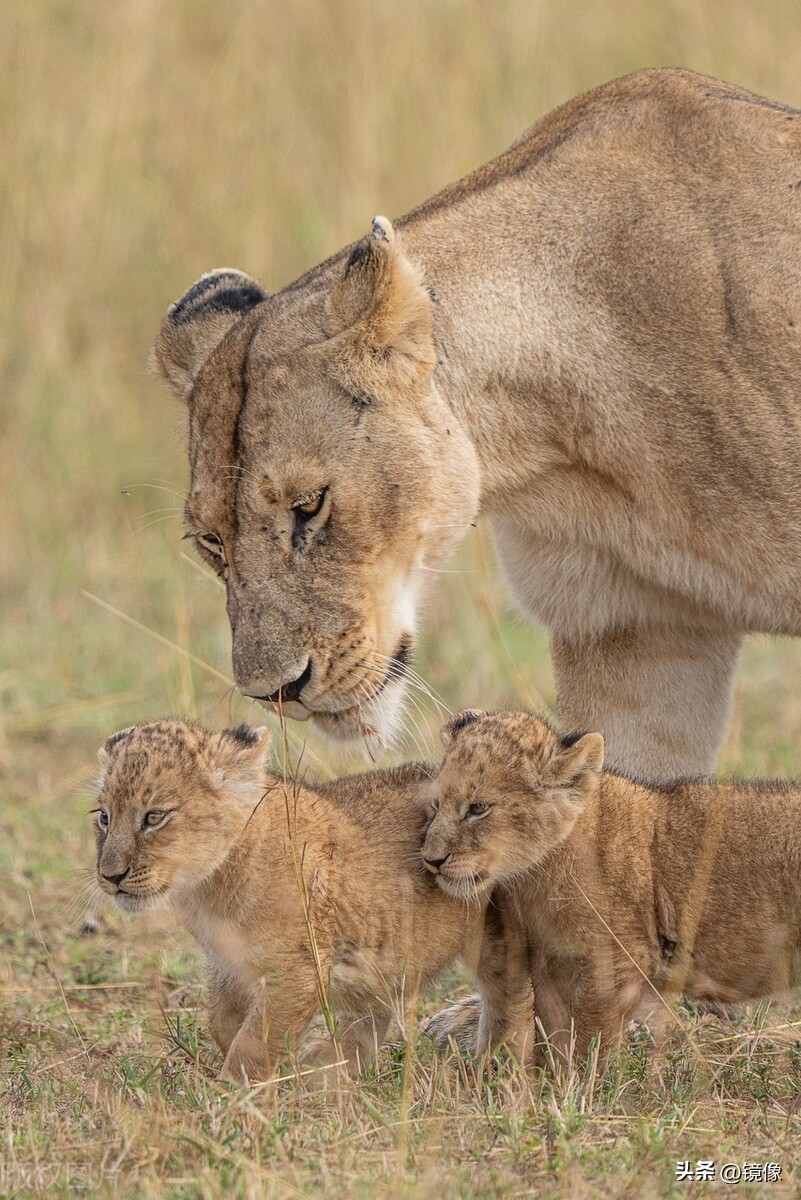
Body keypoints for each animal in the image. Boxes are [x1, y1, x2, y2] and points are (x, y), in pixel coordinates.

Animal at [93, 719, 531, 1083]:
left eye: (154, 817)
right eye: (104, 817)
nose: (110, 876)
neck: (207, 888)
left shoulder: (299, 969)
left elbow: (254, 1041)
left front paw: (232, 1097)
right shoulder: (227, 960)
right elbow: (222, 1020)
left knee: (511, 1000)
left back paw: (496, 1062)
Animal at [422, 709, 801, 1067]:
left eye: (478, 808)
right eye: (436, 805)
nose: (431, 859)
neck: (537, 871)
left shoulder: (615, 964)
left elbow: (587, 1044)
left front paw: (576, 1088)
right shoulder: (550, 966)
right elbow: (551, 1036)